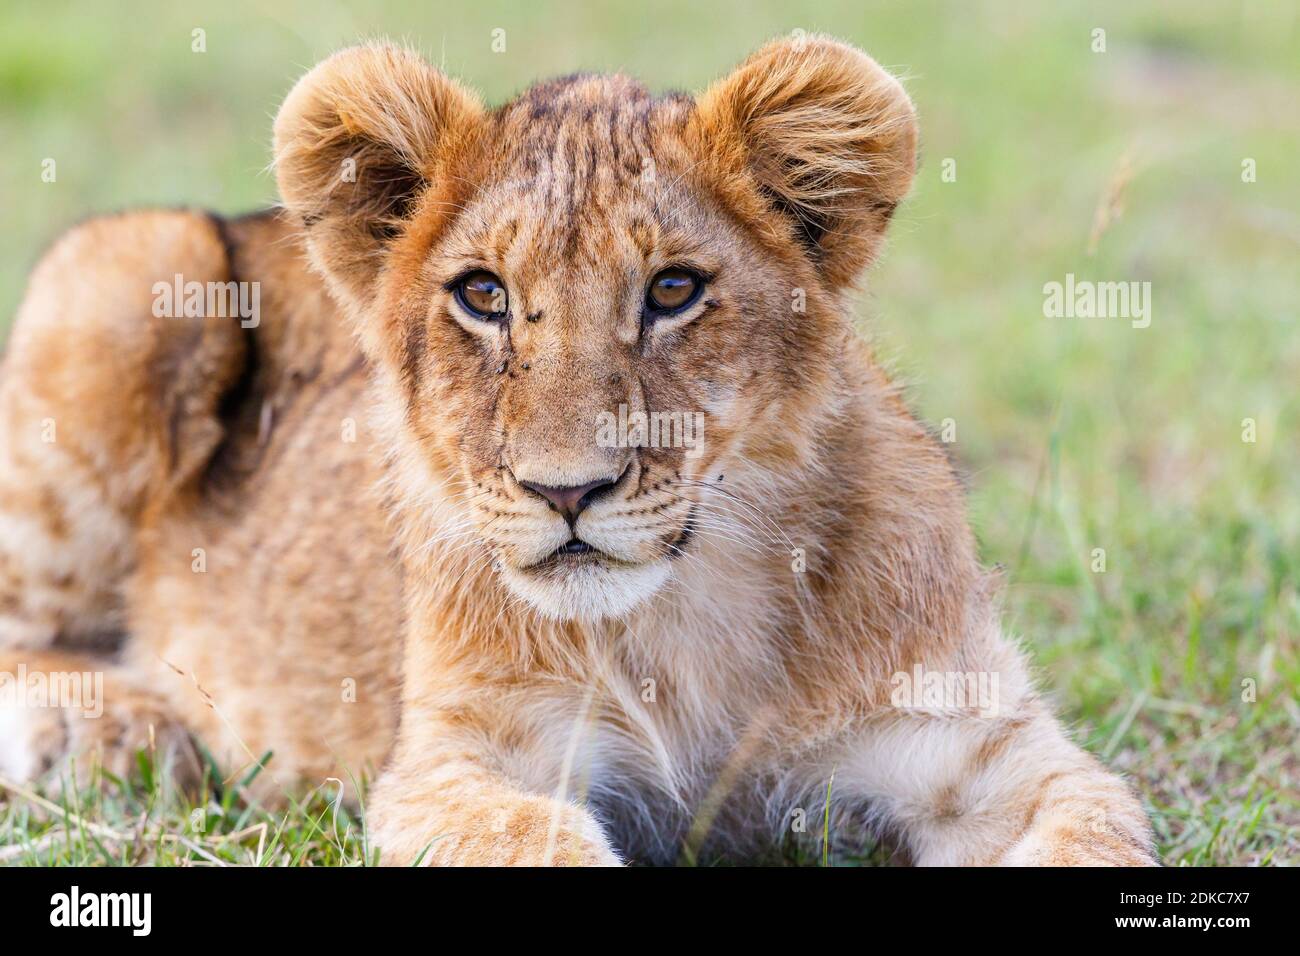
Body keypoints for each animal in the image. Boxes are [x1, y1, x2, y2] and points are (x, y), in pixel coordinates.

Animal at [0, 37, 1156, 866]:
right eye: (483, 294)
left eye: (674, 290)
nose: (568, 491)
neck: (683, 620)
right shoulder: (458, 764)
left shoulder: (986, 747)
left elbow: (1090, 828)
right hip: (136, 266)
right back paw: (119, 729)